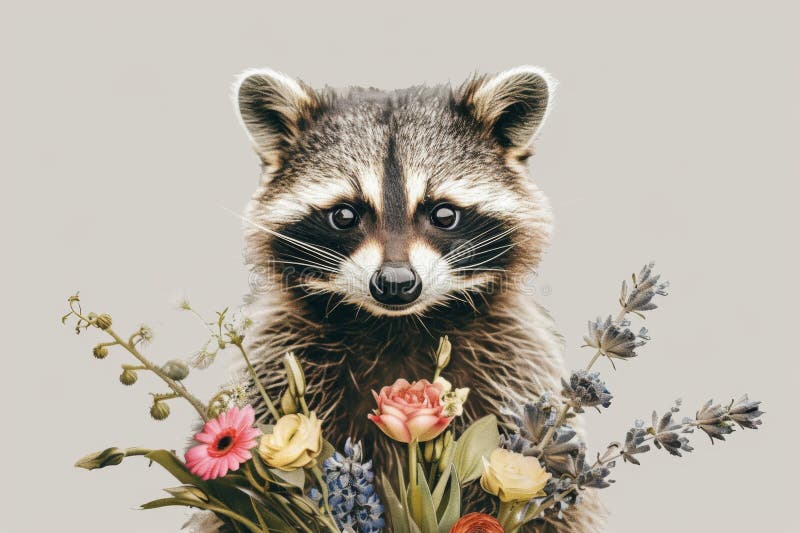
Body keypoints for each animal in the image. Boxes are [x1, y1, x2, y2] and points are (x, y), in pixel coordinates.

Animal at [234, 67, 605, 532]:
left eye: (443, 214)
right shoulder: (280, 355)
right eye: (344, 215)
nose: (395, 282)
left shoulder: (513, 361)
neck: (396, 325)